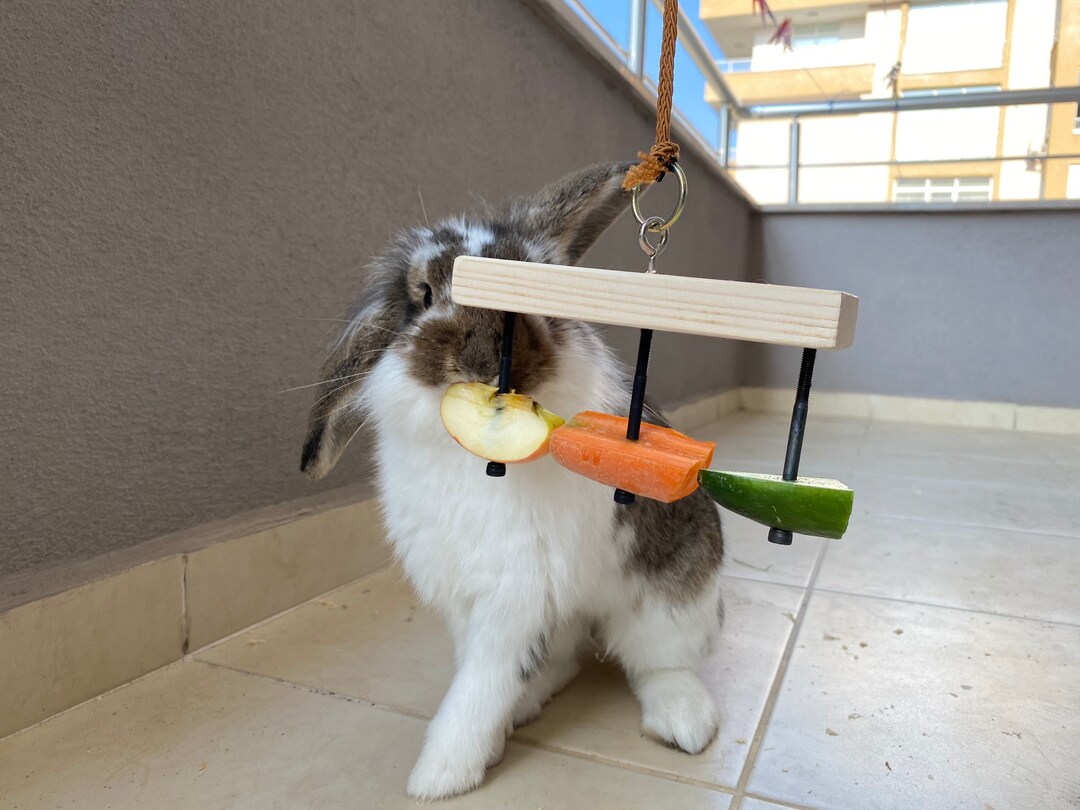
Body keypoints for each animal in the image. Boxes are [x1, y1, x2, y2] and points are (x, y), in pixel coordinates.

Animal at [301, 162, 725, 801]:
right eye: (425, 294)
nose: (483, 358)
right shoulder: (465, 589)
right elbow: (486, 672)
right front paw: (464, 758)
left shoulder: (517, 591)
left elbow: (481, 685)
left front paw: (439, 777)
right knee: (565, 660)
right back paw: (529, 704)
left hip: (674, 599)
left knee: (659, 662)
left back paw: (685, 722)